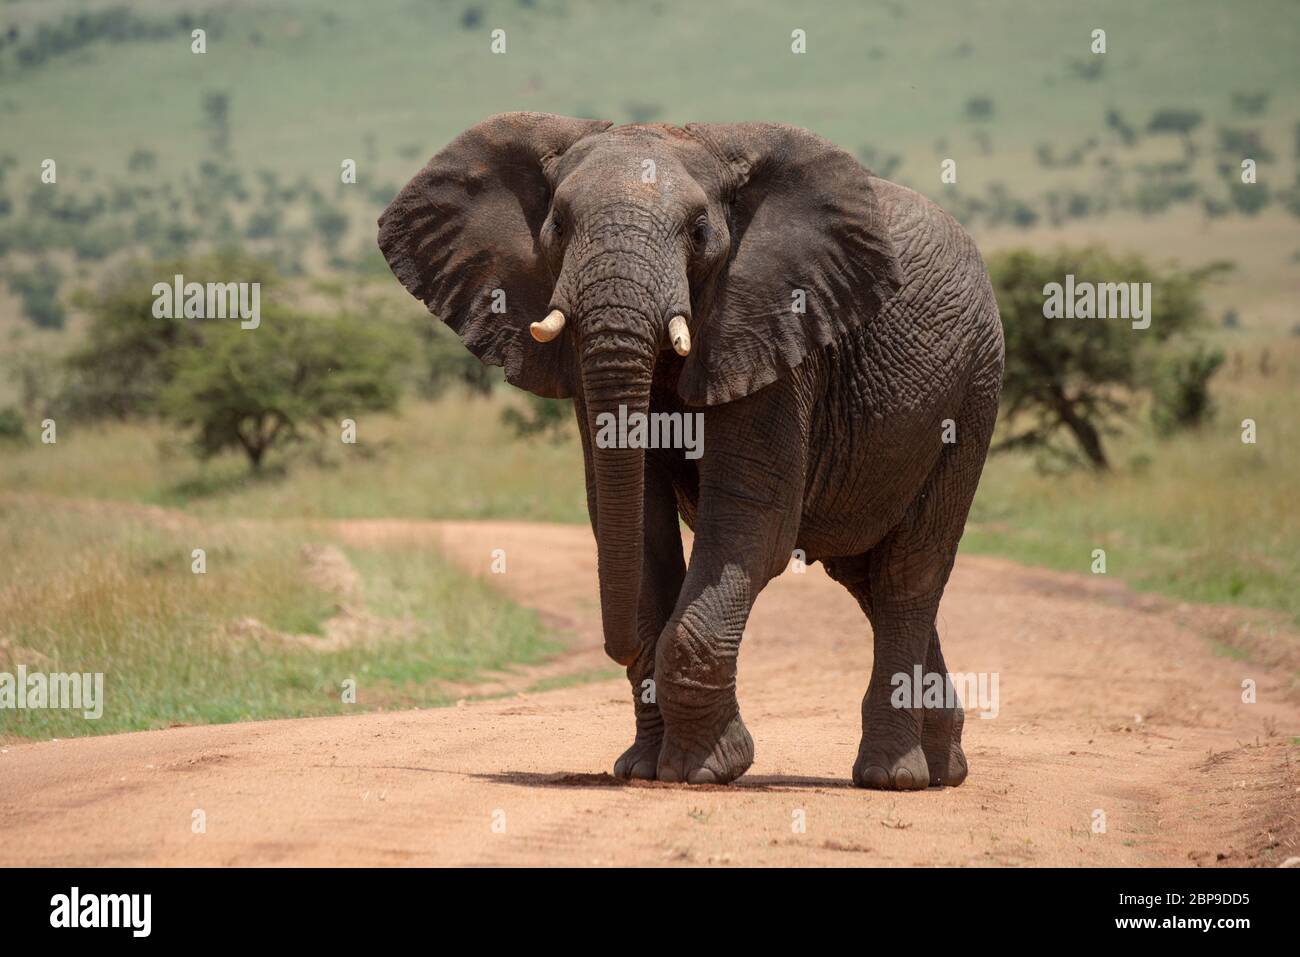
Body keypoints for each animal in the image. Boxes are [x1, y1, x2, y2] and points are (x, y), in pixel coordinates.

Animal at [378, 112, 1004, 790]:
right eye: (558, 226)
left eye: (700, 232)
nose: (616, 646)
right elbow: (635, 520)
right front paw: (642, 768)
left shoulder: (774, 327)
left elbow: (751, 525)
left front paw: (704, 770)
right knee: (866, 576)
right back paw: (945, 768)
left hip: (973, 391)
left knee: (908, 572)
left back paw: (893, 778)